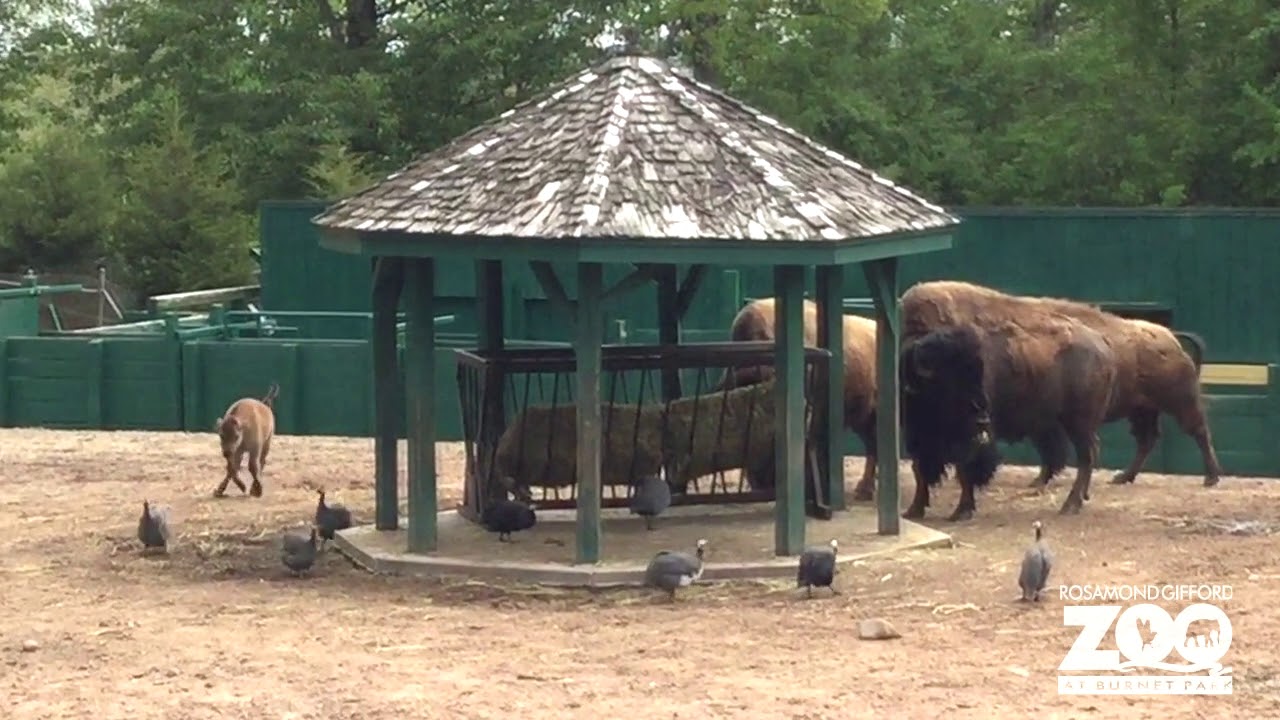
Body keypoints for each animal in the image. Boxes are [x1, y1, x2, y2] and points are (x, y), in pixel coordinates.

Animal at [901, 281, 1221, 490]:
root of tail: (1170, 337)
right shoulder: (1043, 420)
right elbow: (1051, 450)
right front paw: (1039, 480)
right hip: (1142, 410)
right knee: (1147, 439)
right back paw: (1122, 477)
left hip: (1179, 403)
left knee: (1199, 431)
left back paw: (1211, 477)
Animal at [901, 317, 1118, 520]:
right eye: (952, 379)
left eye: (978, 373)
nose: (982, 414)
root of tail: (1102, 344)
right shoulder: (917, 438)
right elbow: (919, 470)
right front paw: (913, 510)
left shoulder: (971, 439)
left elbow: (965, 471)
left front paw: (962, 511)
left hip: (1079, 424)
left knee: (1086, 456)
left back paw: (1070, 505)